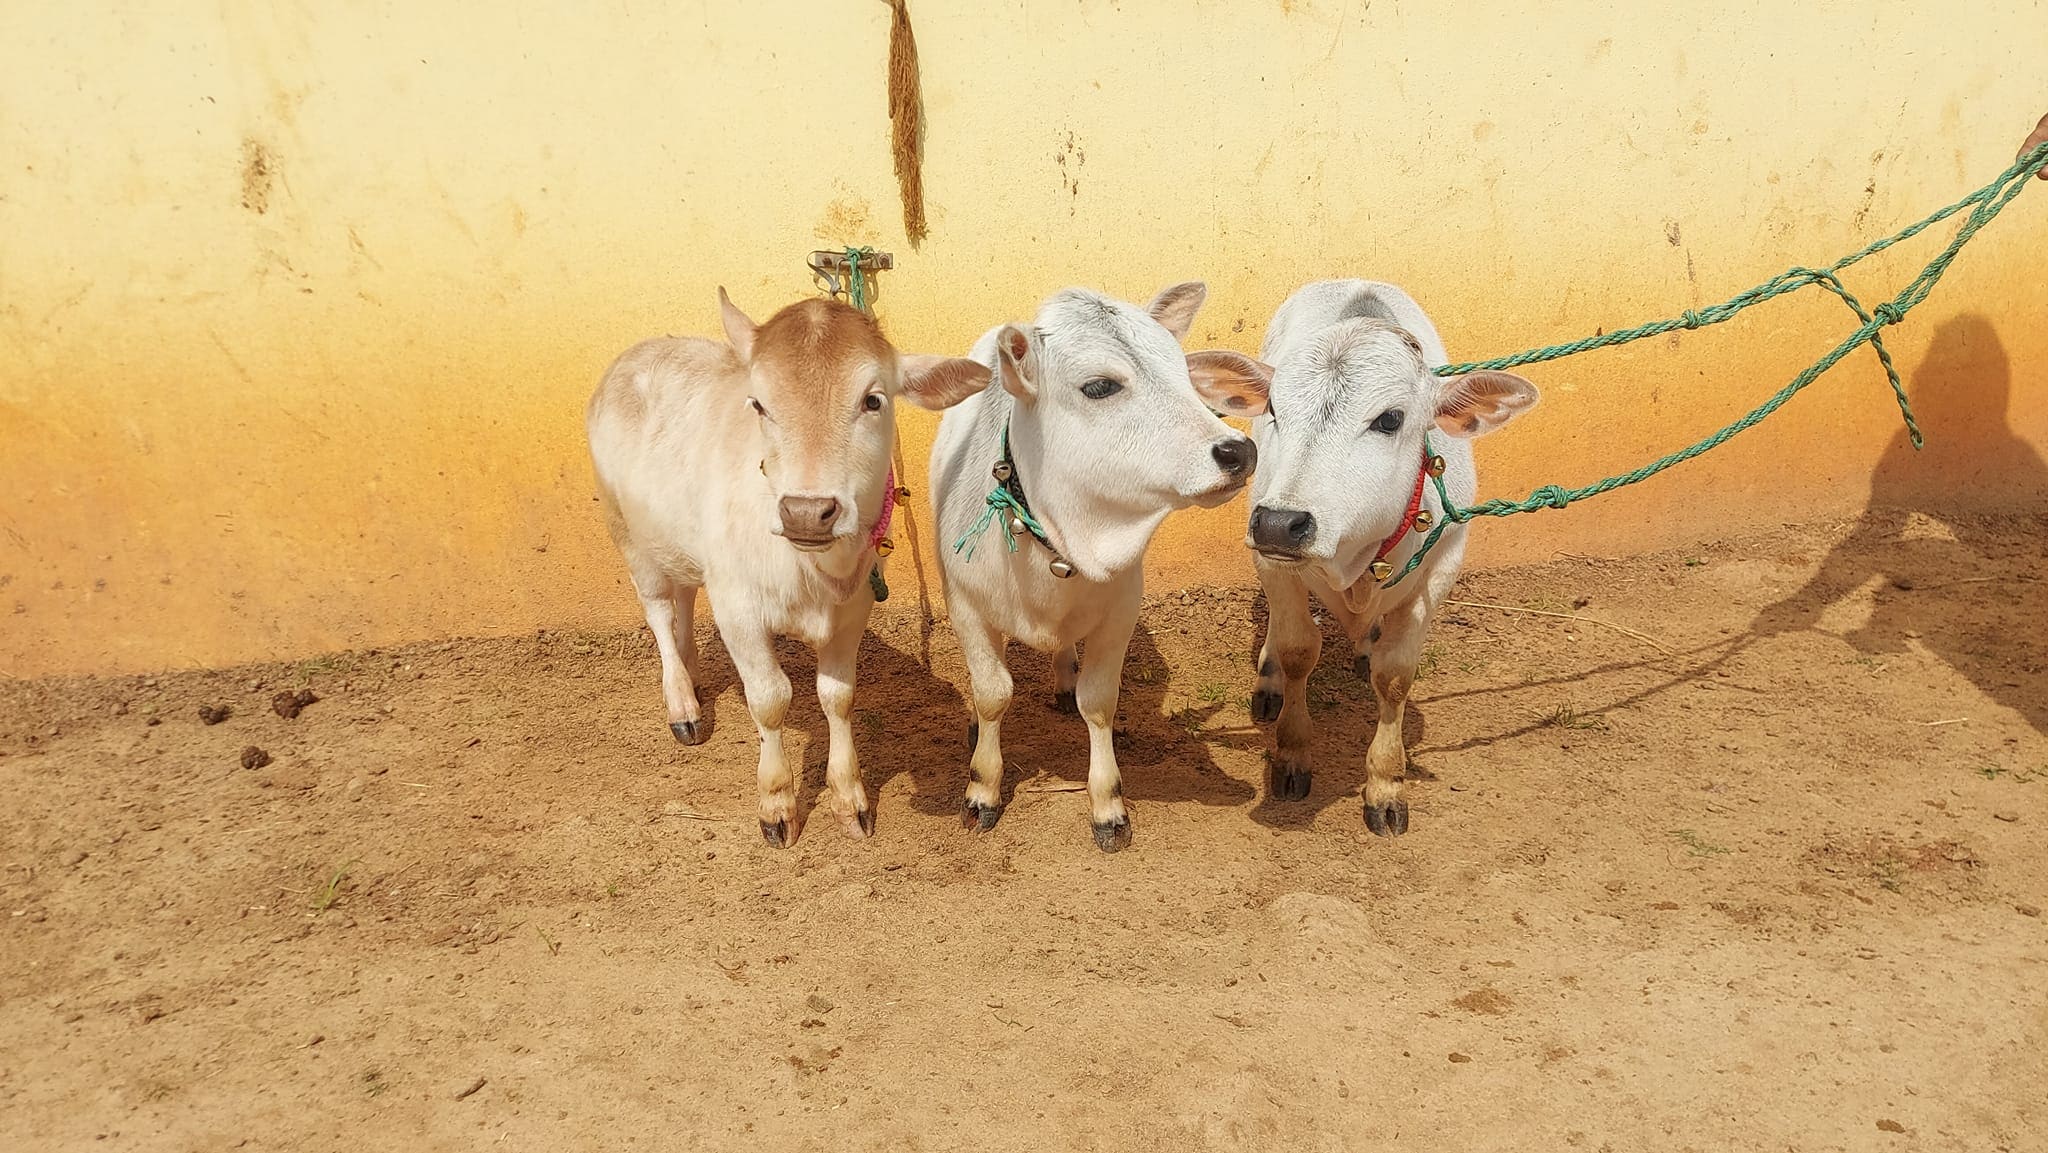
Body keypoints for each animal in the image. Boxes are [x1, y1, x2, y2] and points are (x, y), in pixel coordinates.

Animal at [587, 290, 990, 847]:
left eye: (873, 400)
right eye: (759, 404)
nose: (805, 510)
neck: (811, 571)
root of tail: (637, 351)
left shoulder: (853, 610)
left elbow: (838, 698)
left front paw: (850, 800)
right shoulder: (737, 609)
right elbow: (770, 700)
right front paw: (777, 804)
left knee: (684, 598)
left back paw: (693, 676)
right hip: (625, 530)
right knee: (660, 613)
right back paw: (683, 705)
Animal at [930, 283, 1269, 852]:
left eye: (1183, 373)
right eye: (1100, 386)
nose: (1238, 451)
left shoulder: (1121, 611)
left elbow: (1099, 702)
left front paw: (1108, 804)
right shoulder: (966, 608)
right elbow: (993, 694)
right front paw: (982, 788)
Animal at [1238, 279, 1540, 835]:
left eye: (1390, 419)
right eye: (1273, 410)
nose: (1279, 523)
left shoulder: (1440, 568)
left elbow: (1395, 677)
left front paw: (1385, 785)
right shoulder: (1273, 560)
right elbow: (1297, 651)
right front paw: (1292, 755)